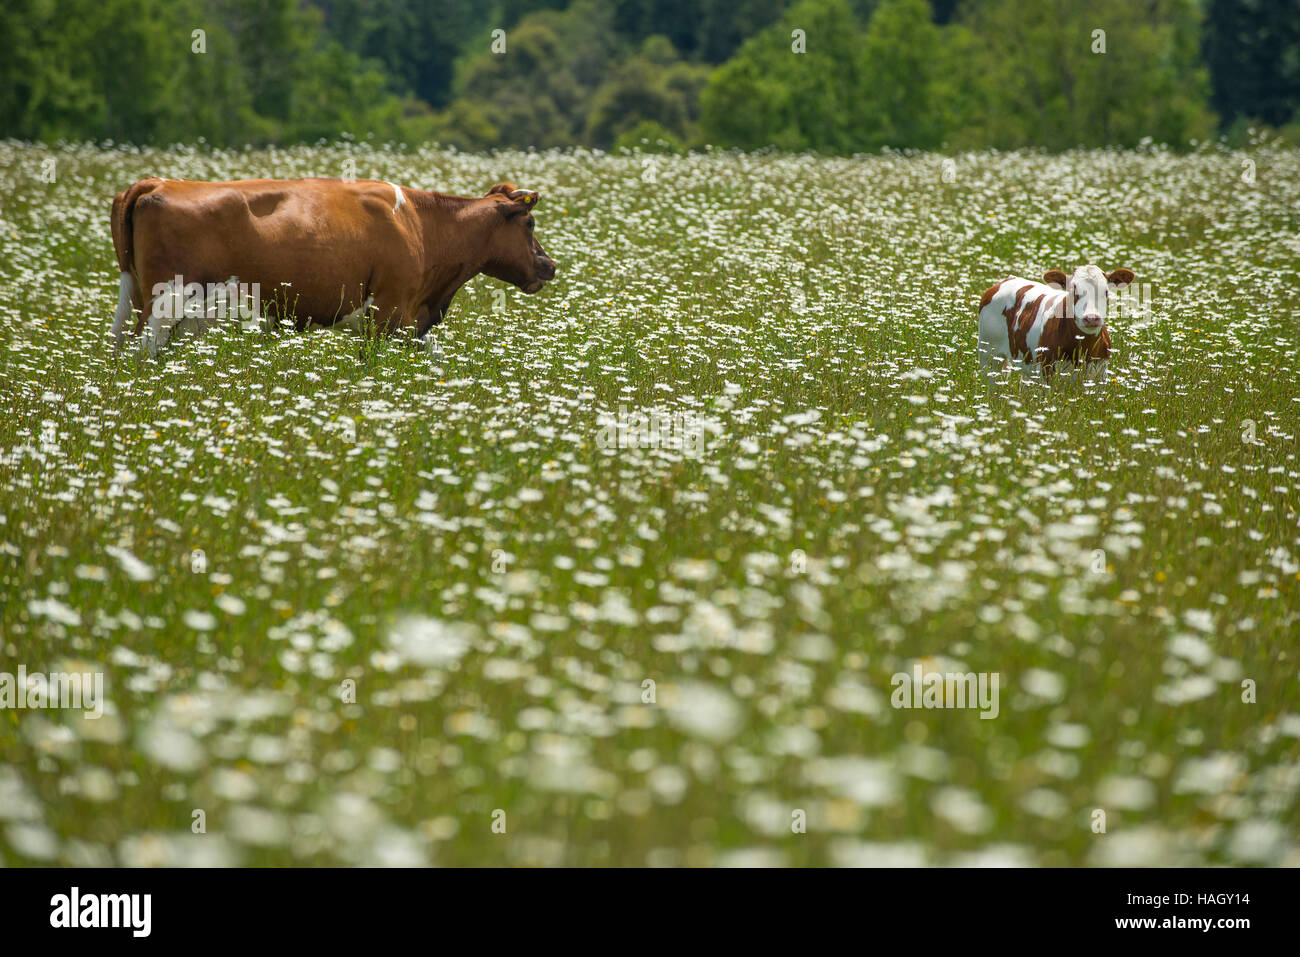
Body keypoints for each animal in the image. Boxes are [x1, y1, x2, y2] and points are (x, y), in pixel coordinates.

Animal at [976, 265, 1134, 382]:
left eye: (1106, 292)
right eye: (1072, 291)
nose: (1091, 318)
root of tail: (1008, 279)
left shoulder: (1101, 373)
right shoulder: (1047, 370)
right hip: (987, 356)